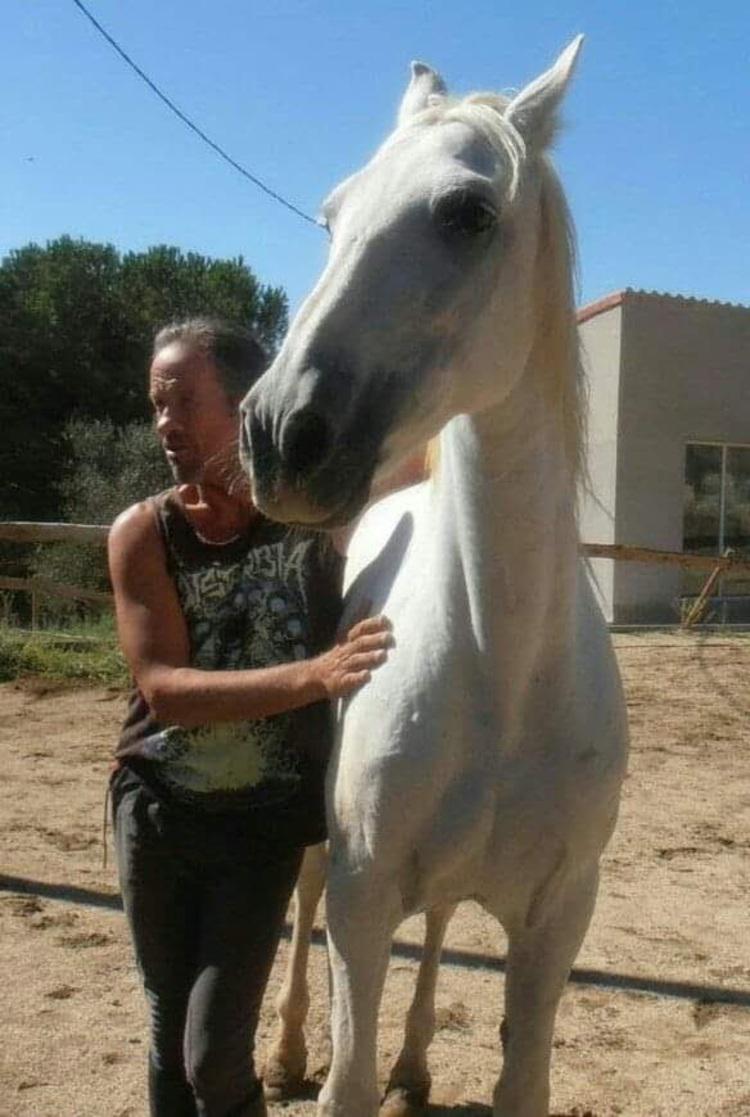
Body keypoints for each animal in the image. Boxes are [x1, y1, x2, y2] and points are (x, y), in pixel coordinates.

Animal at [242, 37, 629, 1117]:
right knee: (303, 903)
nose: (280, 434)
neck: (504, 667)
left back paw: (416, 1064)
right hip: (327, 860)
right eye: (332, 215)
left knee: (446, 921)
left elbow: (518, 1072)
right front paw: (321, 1062)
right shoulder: (364, 895)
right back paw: (286, 1049)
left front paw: (414, 1065)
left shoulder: (559, 918)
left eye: (468, 212)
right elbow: (347, 1076)